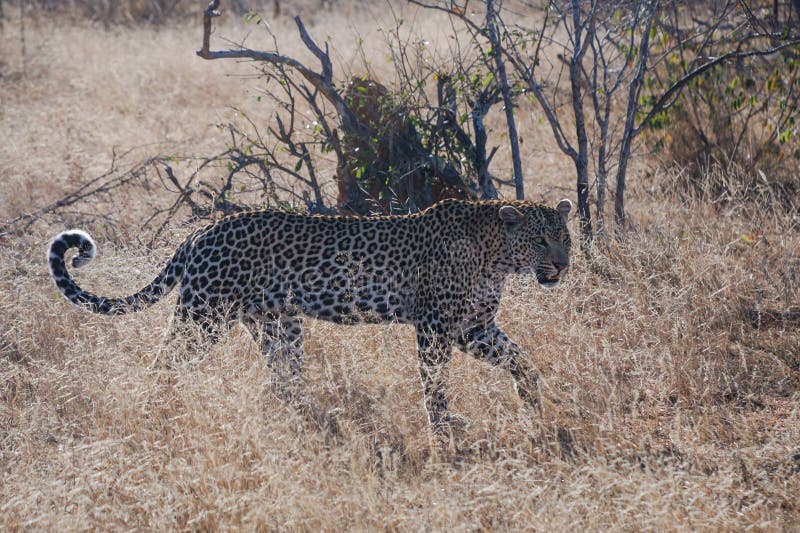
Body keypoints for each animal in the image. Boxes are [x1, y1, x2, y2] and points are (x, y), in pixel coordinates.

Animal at [48, 198, 573, 432]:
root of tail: (200, 232)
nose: (564, 264)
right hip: (202, 315)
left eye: (564, 236)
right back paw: (156, 408)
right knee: (164, 362)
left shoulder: (473, 328)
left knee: (284, 379)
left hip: (276, 323)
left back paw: (320, 420)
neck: (498, 257)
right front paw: (443, 427)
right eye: (541, 239)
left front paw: (533, 403)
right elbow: (435, 380)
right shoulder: (437, 327)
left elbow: (520, 359)